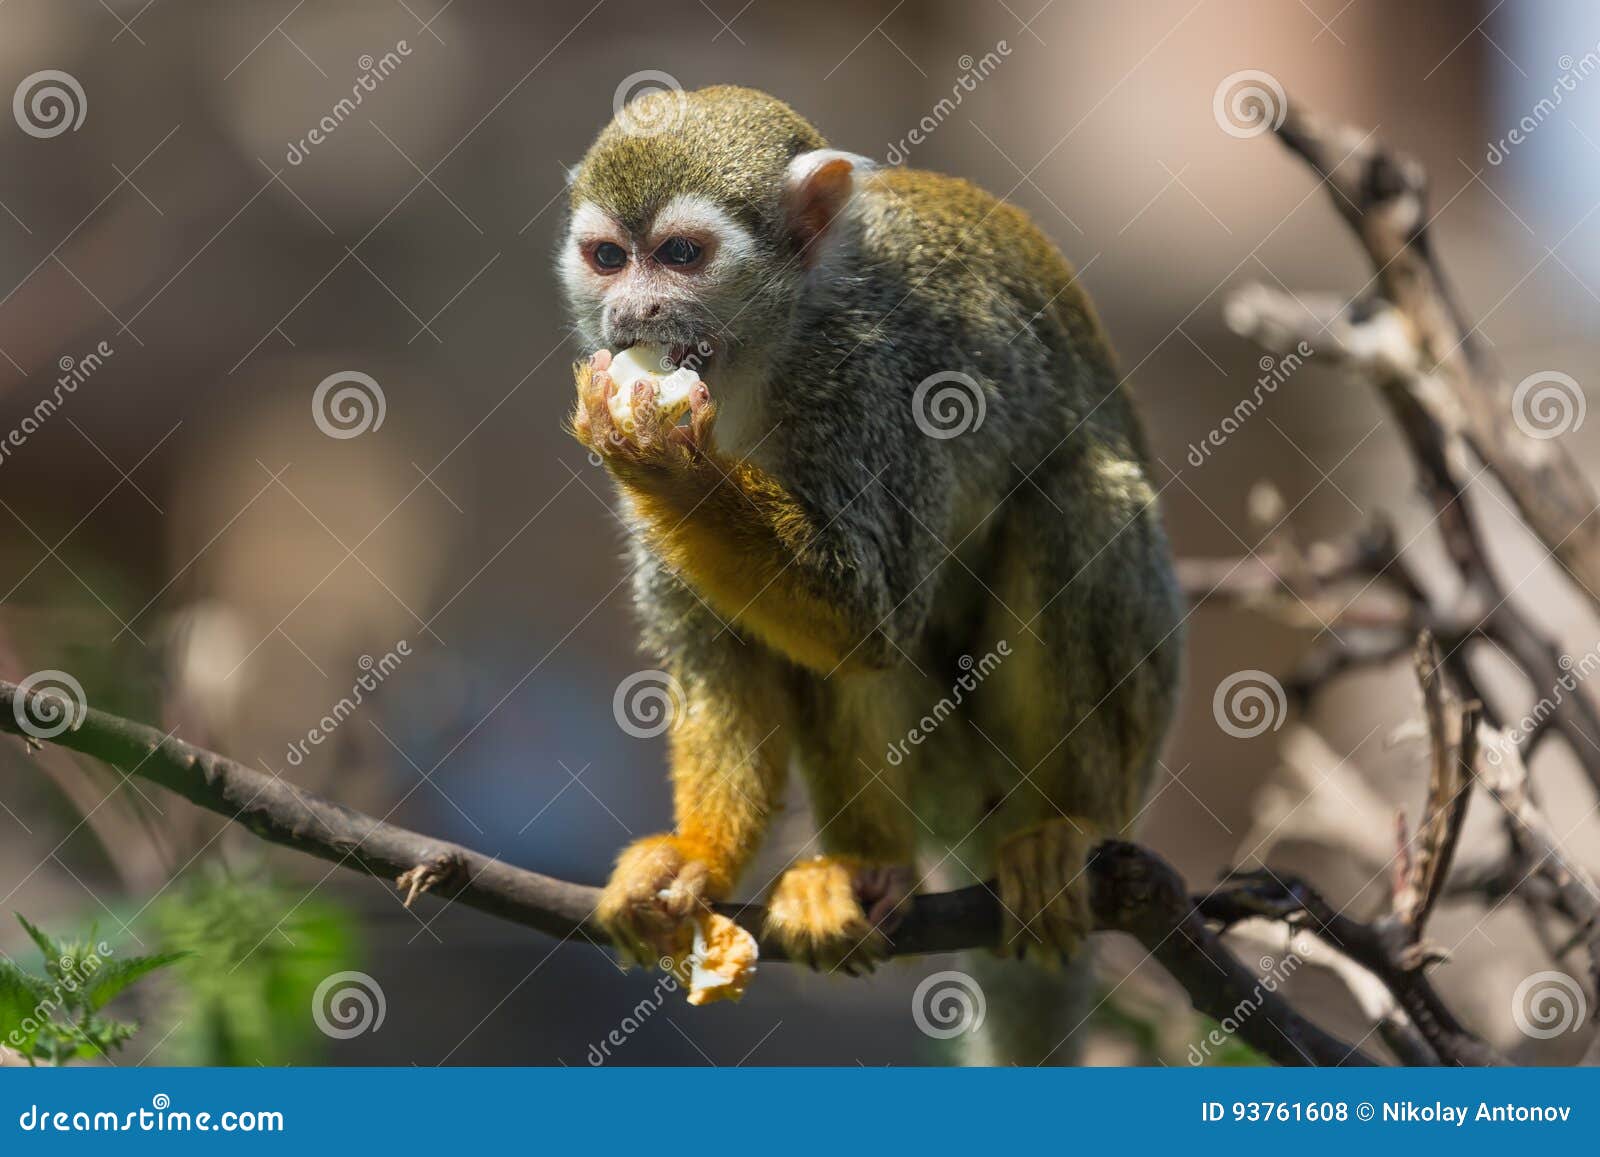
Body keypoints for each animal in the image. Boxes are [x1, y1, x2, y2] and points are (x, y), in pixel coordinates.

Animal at [559, 85, 1183, 1064]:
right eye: (609, 258)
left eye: (682, 255)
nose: (631, 315)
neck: (768, 352)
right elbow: (723, 664)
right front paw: (697, 857)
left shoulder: (870, 378)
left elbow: (871, 616)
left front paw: (666, 460)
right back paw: (871, 867)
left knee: (1072, 497)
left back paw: (1064, 828)